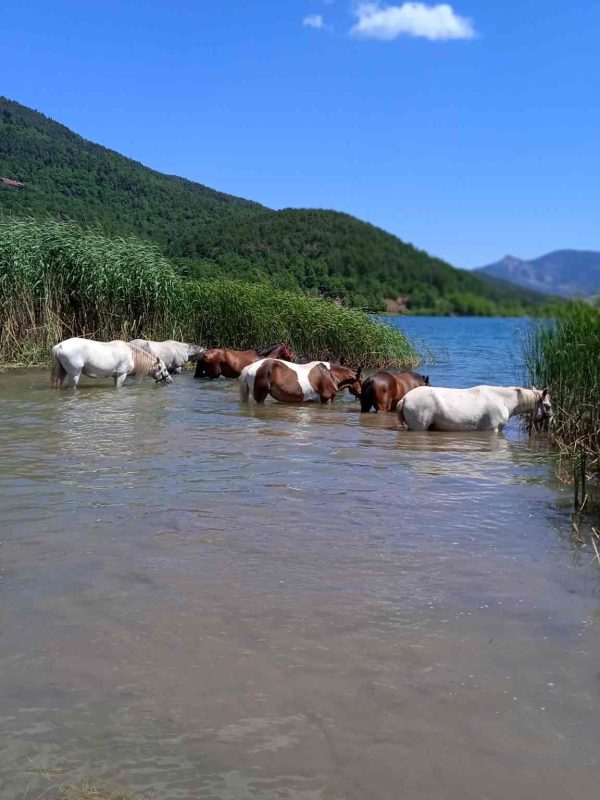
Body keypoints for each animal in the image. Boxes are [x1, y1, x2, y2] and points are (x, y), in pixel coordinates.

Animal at [397, 385, 551, 432]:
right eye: (548, 406)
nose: (550, 420)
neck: (503, 400)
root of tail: (404, 398)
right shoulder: (492, 430)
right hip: (419, 428)